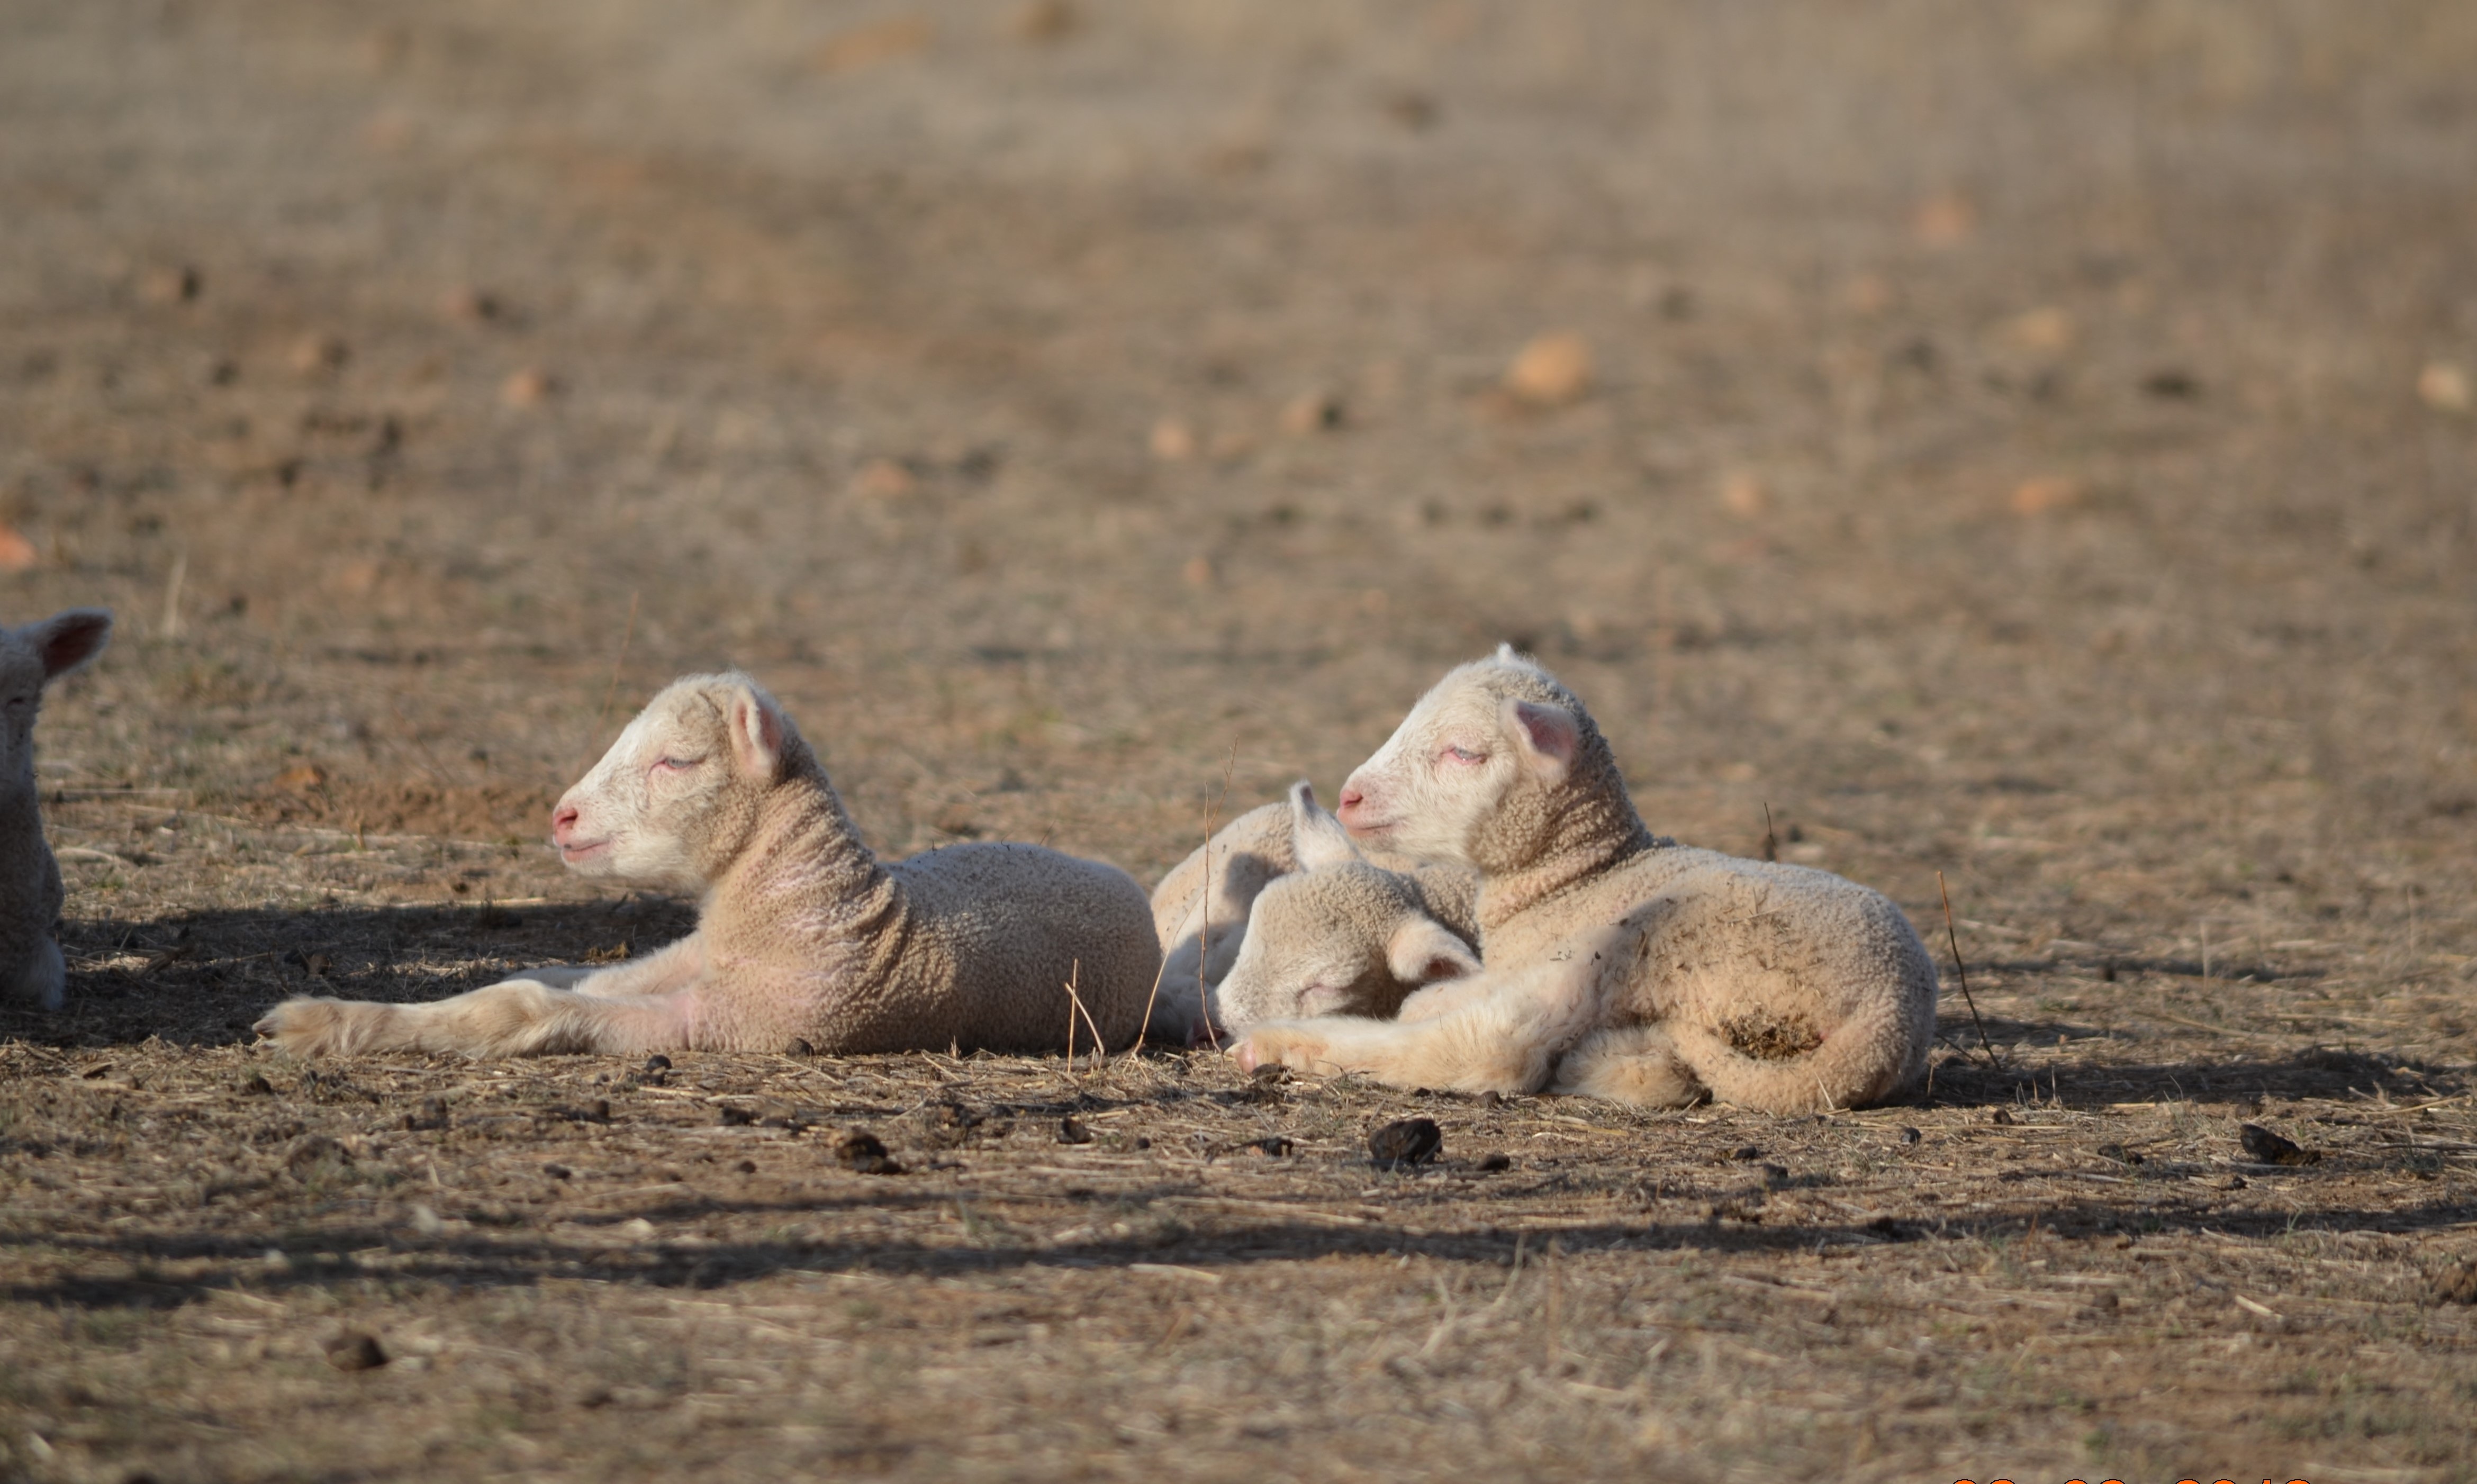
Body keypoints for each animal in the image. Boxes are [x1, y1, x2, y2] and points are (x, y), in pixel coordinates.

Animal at [254, 672, 1162, 1059]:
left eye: (677, 762)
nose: (561, 816)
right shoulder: (688, 963)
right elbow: (546, 979)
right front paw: (341, 1016)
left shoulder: (733, 1023)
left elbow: (520, 1005)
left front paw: (315, 1027)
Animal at [1232, 646, 1939, 1112]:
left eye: (1464, 751)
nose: (1349, 796)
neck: (1574, 880)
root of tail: (1886, 1018)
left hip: (1644, 949)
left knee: (1491, 1047)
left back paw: (1272, 1046)